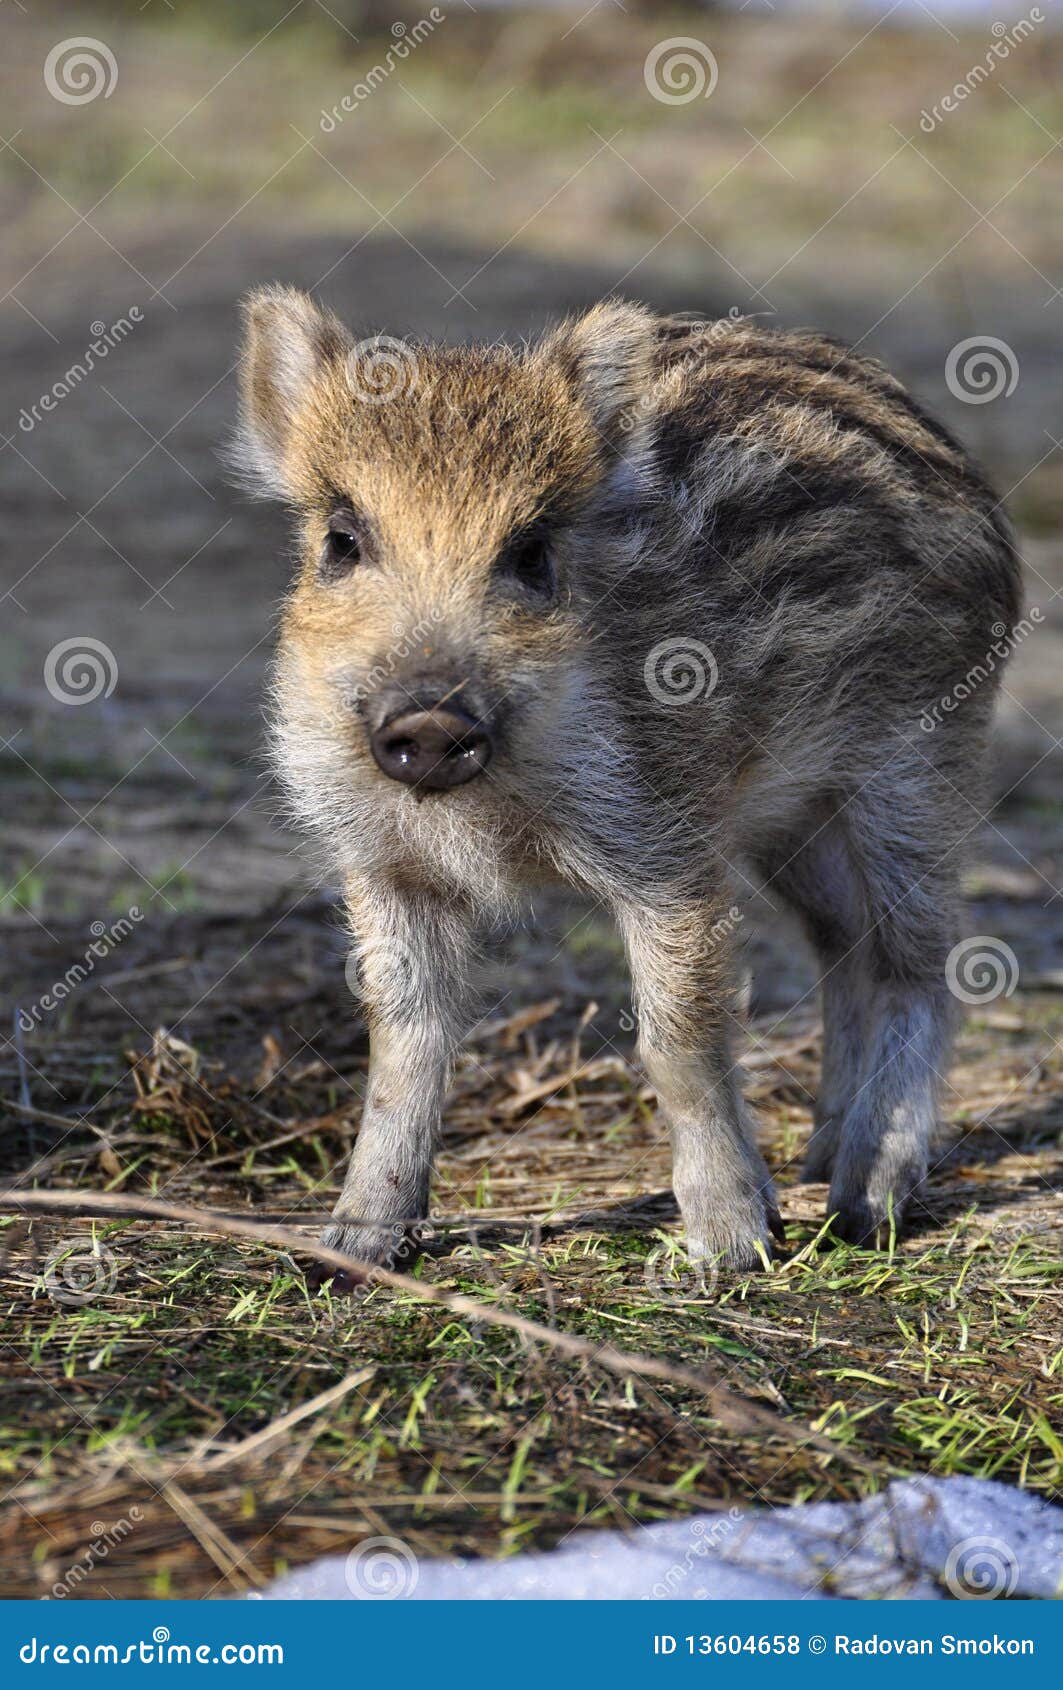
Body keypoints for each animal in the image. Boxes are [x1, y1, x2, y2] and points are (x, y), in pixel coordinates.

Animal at [235, 287, 1021, 1278]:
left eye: (532, 552)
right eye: (341, 539)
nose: (430, 722)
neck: (489, 813)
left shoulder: (666, 848)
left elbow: (676, 1038)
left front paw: (731, 1252)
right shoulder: (386, 865)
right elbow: (402, 1037)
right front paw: (353, 1249)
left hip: (918, 765)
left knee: (920, 959)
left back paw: (863, 1204)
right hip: (793, 817)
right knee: (841, 943)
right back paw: (817, 1159)